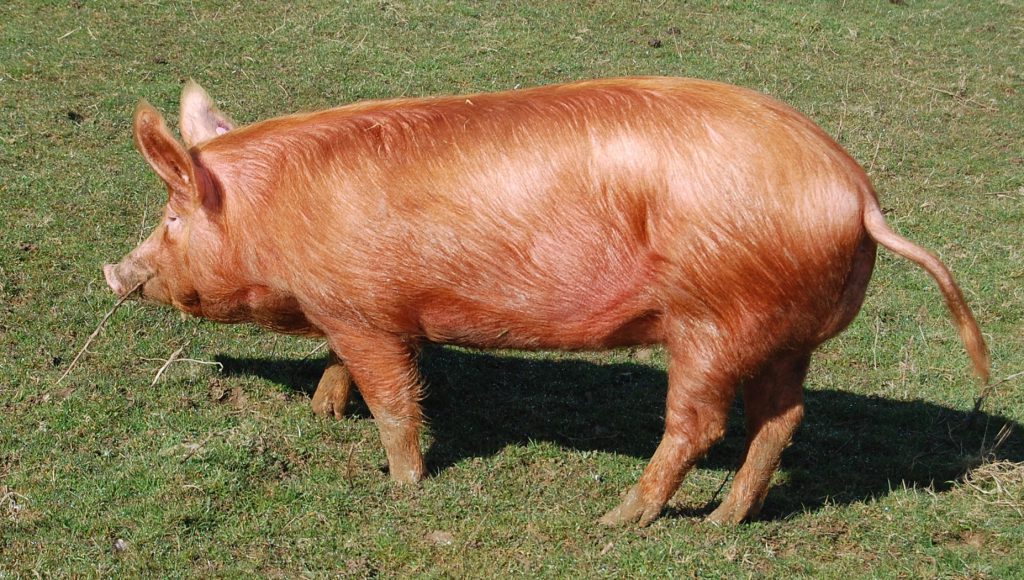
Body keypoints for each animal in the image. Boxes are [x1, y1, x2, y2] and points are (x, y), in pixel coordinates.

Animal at [104, 77, 989, 527]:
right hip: (782, 333)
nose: (114, 271)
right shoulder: (361, 313)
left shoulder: (364, 311)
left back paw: (617, 522)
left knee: (698, 424)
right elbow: (346, 365)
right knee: (781, 419)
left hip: (713, 319)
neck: (278, 215)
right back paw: (723, 524)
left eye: (172, 217)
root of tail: (857, 194)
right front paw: (323, 414)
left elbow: (395, 397)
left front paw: (402, 484)